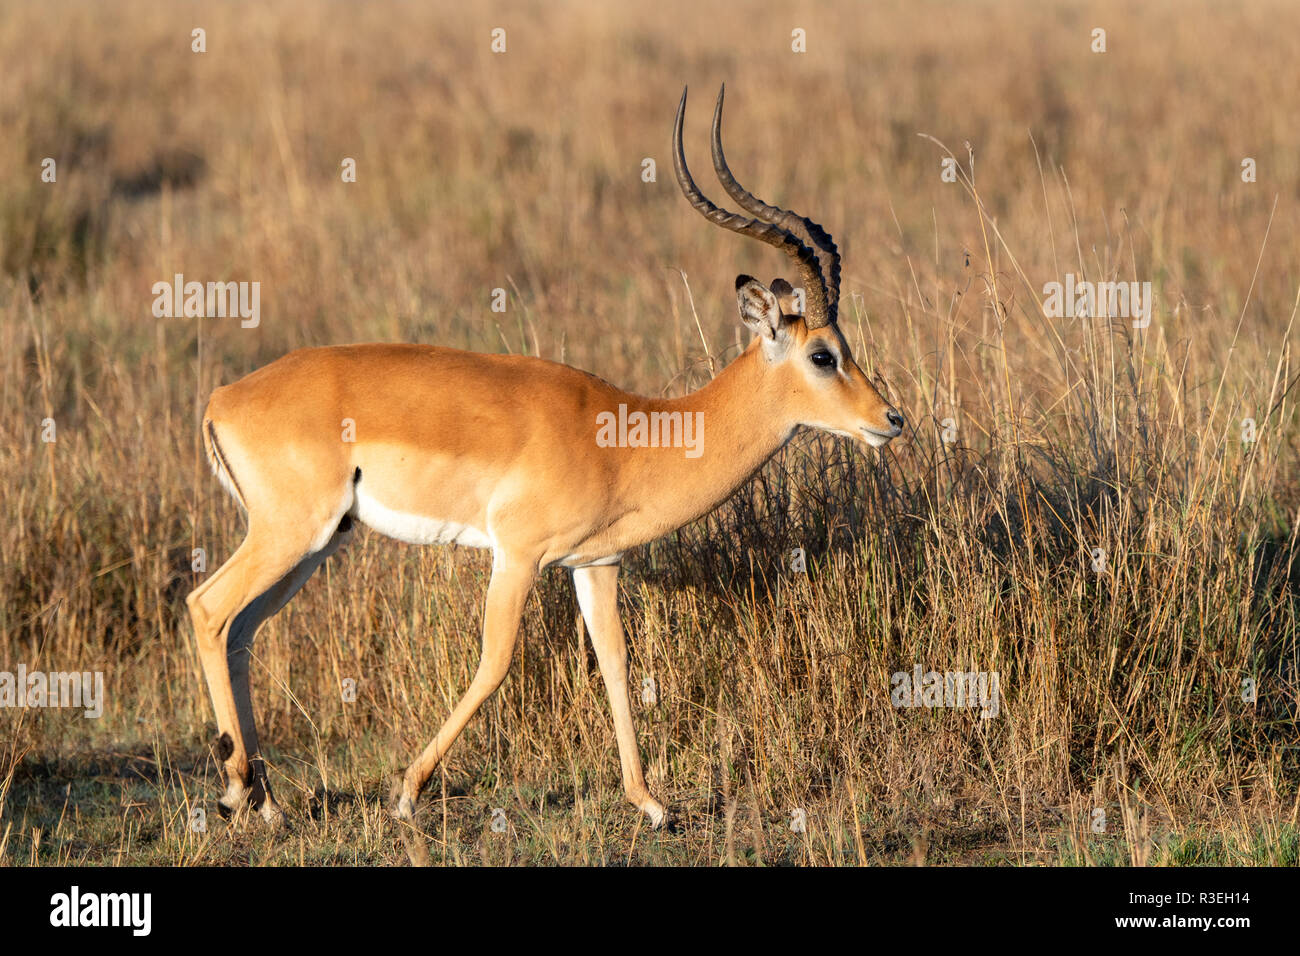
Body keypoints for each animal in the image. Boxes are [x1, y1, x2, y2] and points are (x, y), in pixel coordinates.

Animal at [186, 86, 904, 855]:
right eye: (823, 355)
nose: (891, 419)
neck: (629, 436)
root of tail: (223, 396)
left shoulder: (596, 562)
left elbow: (616, 664)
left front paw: (650, 804)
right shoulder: (519, 554)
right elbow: (494, 662)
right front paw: (406, 795)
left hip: (314, 545)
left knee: (240, 632)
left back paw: (266, 802)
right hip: (292, 532)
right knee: (208, 608)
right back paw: (236, 791)